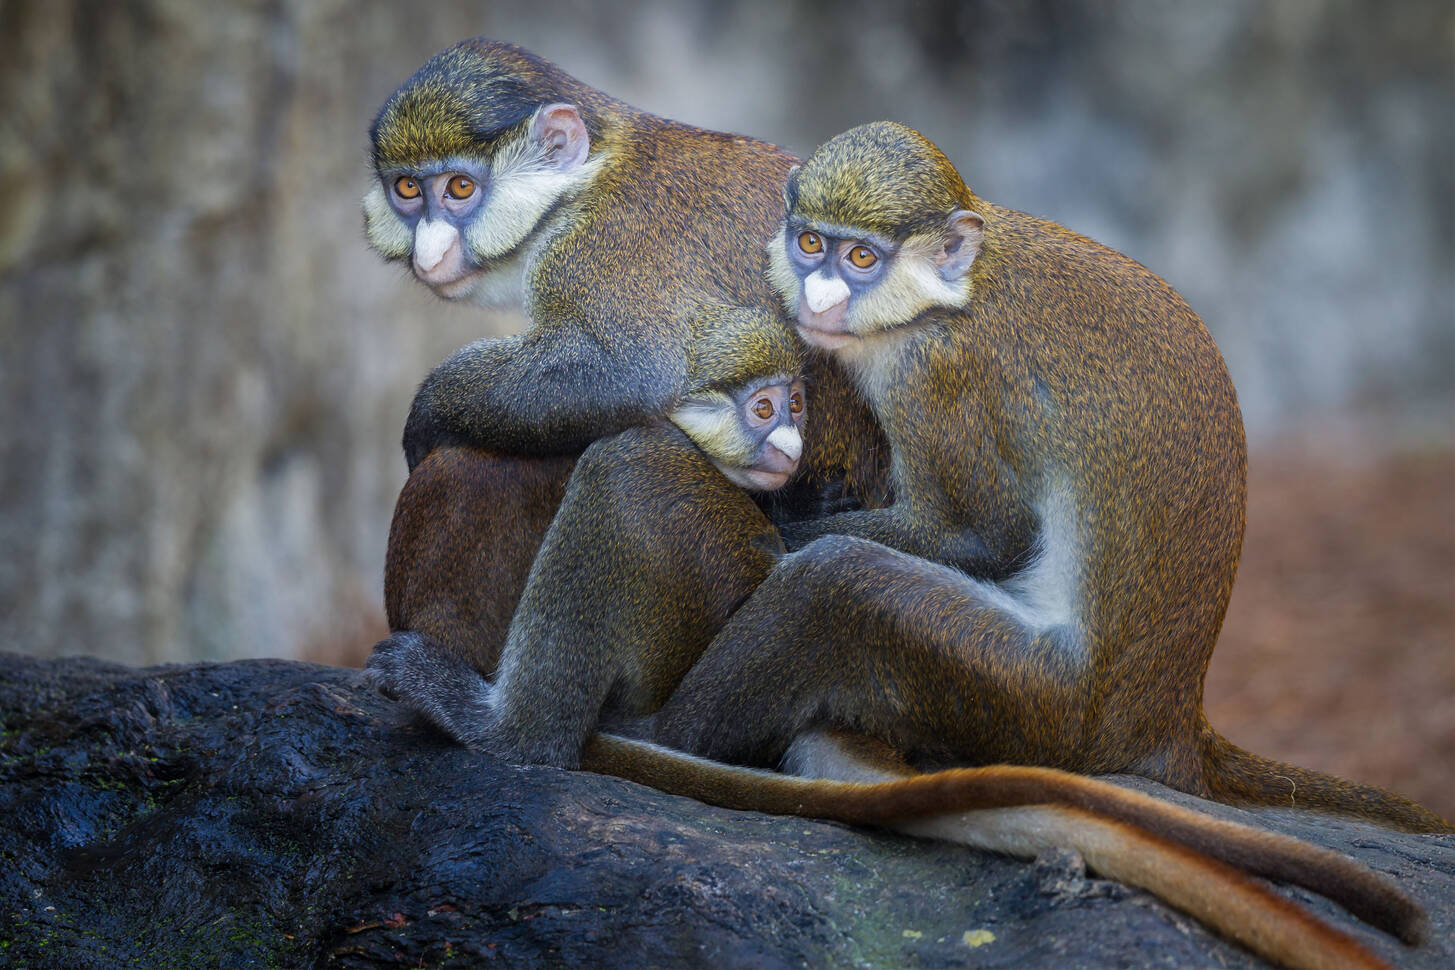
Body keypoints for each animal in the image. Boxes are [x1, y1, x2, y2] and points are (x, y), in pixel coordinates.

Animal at [642, 120, 1452, 840]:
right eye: (811, 243)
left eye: (862, 258)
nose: (819, 299)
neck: (950, 292)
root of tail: (1168, 720)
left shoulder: (936, 374)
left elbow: (987, 535)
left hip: (1038, 704)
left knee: (842, 584)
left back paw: (661, 737)